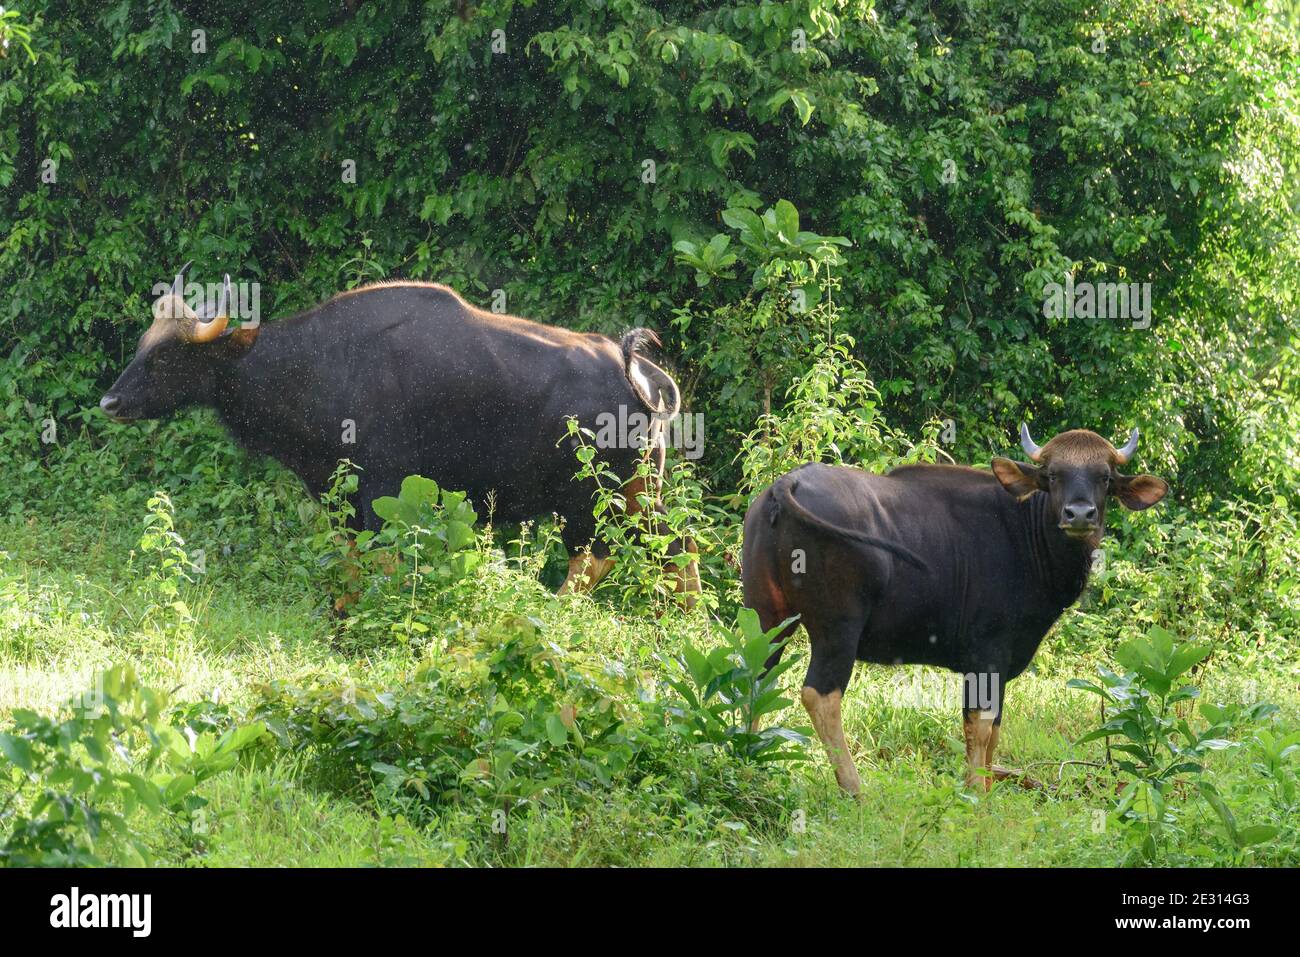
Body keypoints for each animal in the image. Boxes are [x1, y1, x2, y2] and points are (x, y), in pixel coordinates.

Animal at [100, 267, 698, 597]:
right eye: (142, 344)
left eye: (166, 355)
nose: (110, 402)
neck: (324, 364)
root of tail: (636, 374)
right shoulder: (343, 497)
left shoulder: (385, 490)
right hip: (642, 493)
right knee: (680, 551)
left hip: (593, 500)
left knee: (596, 561)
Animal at [742, 425, 1168, 794]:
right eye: (1052, 475)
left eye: (1105, 477)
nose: (1079, 514)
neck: (1027, 538)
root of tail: (785, 485)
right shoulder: (987, 652)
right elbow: (980, 725)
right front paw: (976, 793)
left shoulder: (1000, 662)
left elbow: (995, 727)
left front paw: (988, 789)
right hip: (837, 628)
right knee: (820, 695)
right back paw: (855, 788)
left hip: (765, 616)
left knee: (755, 678)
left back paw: (748, 761)